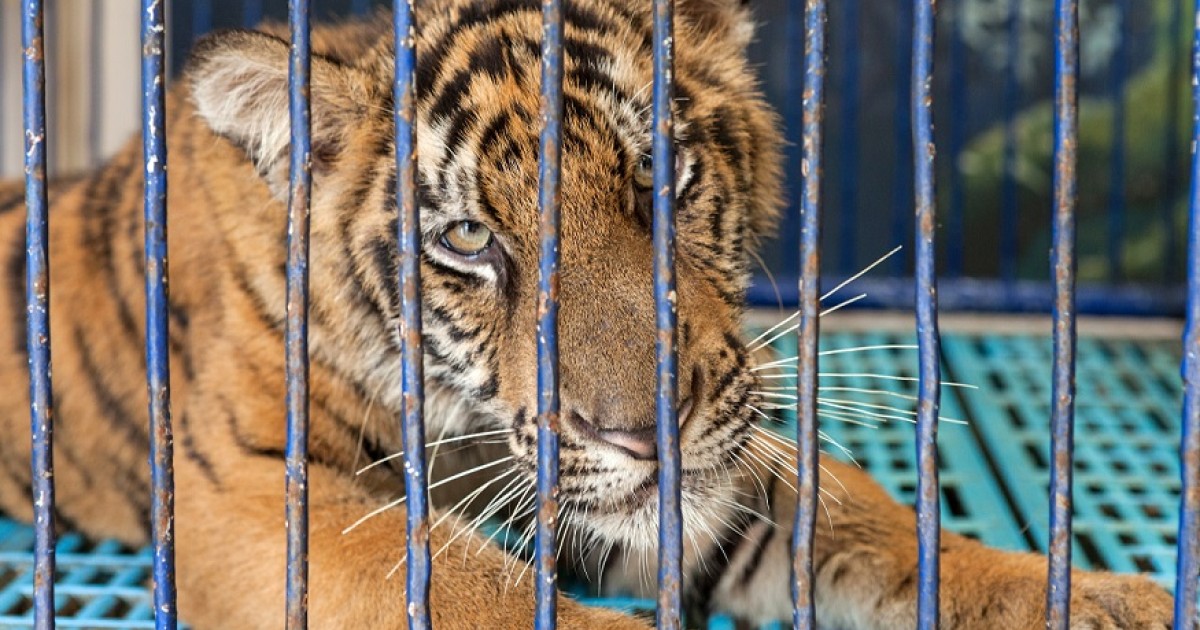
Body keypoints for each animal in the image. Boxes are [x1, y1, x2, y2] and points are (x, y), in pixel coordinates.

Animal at [0, 0, 1184, 628]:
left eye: (659, 178)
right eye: (468, 240)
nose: (641, 433)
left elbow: (885, 534)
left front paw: (1103, 598)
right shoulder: (258, 494)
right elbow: (467, 589)